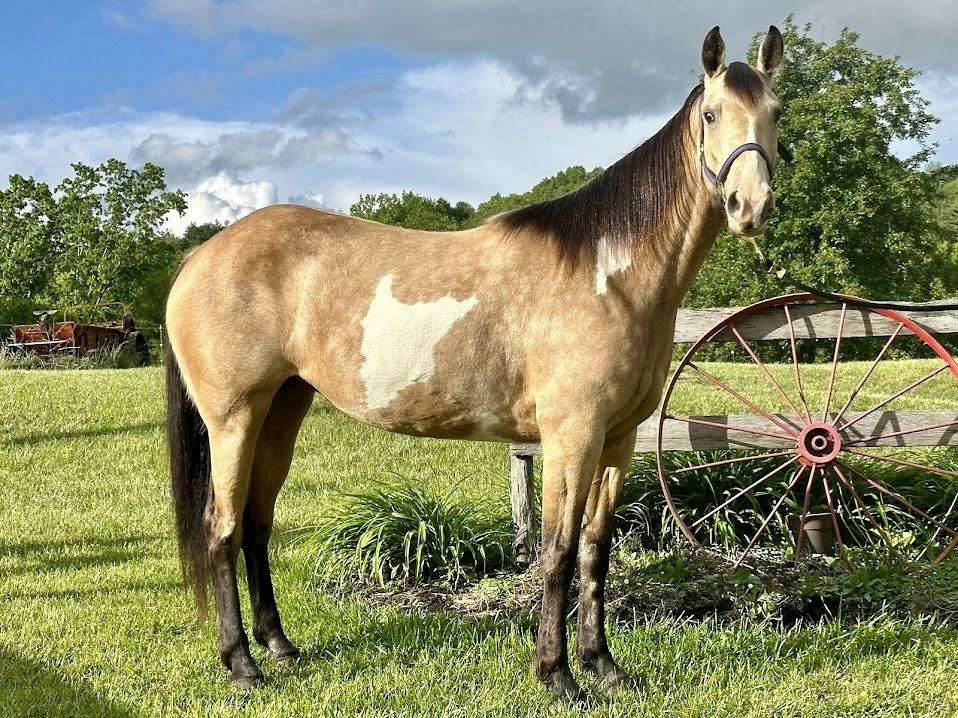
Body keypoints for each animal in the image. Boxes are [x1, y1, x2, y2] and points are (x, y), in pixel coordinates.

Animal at [165, 25, 784, 702]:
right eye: (711, 114)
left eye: (776, 112)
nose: (750, 204)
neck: (608, 274)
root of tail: (200, 256)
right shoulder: (571, 436)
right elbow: (558, 554)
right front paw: (558, 675)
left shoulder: (617, 439)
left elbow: (595, 550)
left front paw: (606, 667)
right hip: (234, 418)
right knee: (222, 527)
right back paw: (242, 664)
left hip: (282, 409)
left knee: (256, 523)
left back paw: (280, 647)